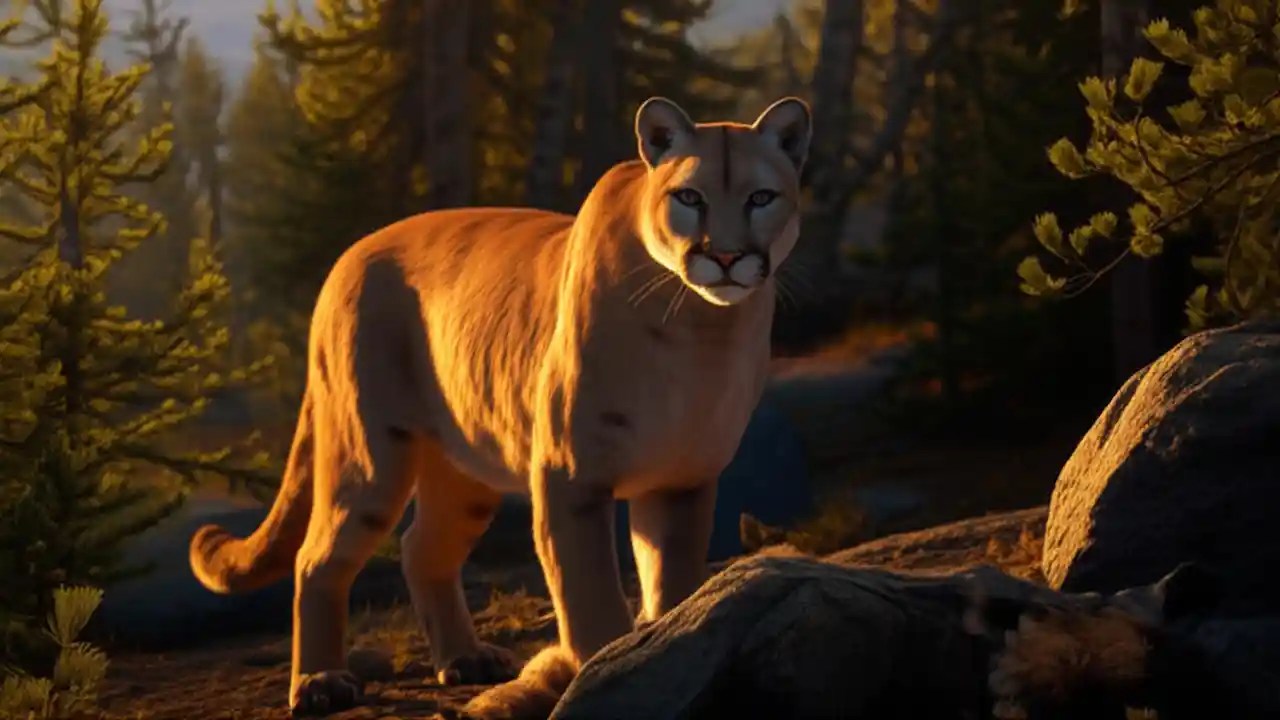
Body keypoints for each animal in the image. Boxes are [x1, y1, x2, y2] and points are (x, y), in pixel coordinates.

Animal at [189, 95, 812, 717]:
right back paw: (320, 682)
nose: (726, 256)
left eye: (761, 197)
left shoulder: (681, 478)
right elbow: (589, 593)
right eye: (689, 197)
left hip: (463, 467)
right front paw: (604, 666)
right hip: (369, 453)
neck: (701, 328)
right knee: (317, 557)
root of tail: (347, 255)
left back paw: (466, 659)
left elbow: (673, 581)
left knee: (422, 549)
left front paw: (661, 647)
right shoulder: (569, 472)